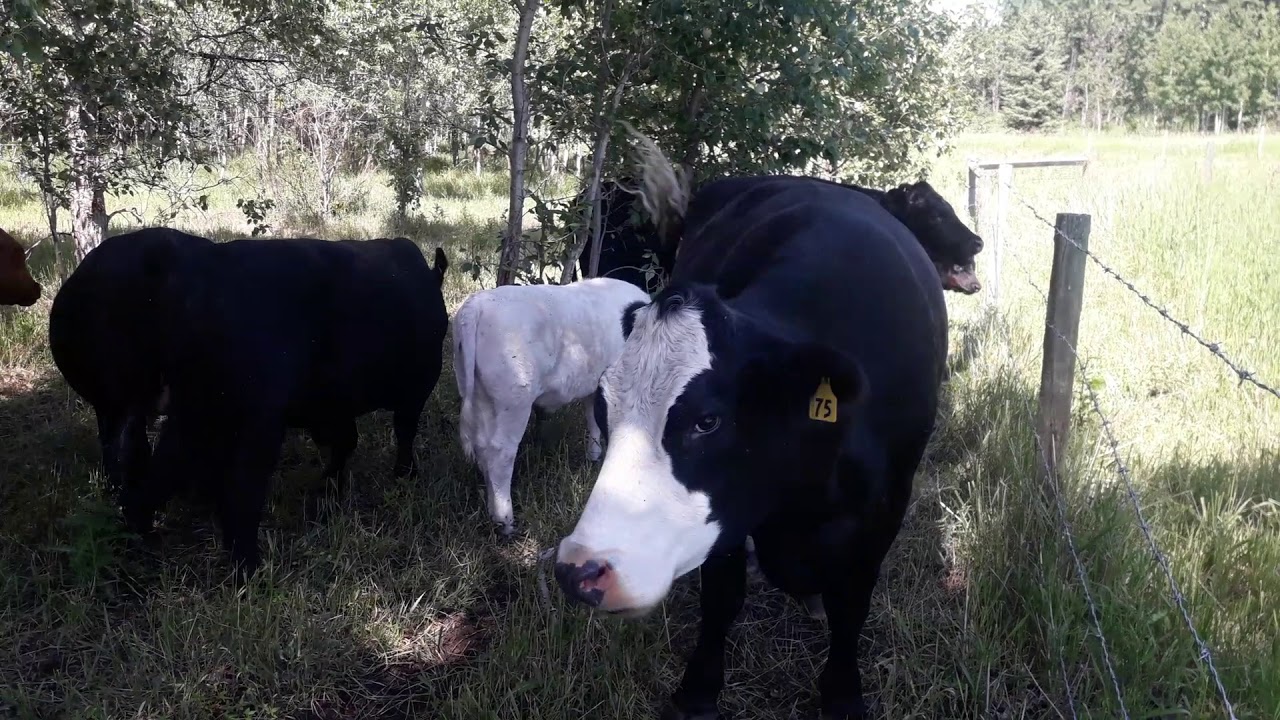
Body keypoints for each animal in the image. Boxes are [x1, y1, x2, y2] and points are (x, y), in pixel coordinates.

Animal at [127, 236, 451, 580]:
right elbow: (396, 433)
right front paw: (402, 473)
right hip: (250, 421)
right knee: (240, 480)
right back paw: (245, 562)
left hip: (199, 410)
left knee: (167, 464)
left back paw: (142, 527)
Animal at [452, 277, 651, 536]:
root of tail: (476, 305)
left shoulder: (593, 383)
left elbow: (592, 418)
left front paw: (594, 456)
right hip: (514, 400)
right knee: (500, 452)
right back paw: (506, 522)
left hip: (481, 395)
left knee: (482, 446)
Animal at [553, 141, 949, 720]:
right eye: (606, 409)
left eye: (707, 420)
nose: (579, 570)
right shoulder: (729, 519)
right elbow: (722, 597)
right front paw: (697, 691)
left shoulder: (885, 508)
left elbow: (851, 604)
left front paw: (843, 694)